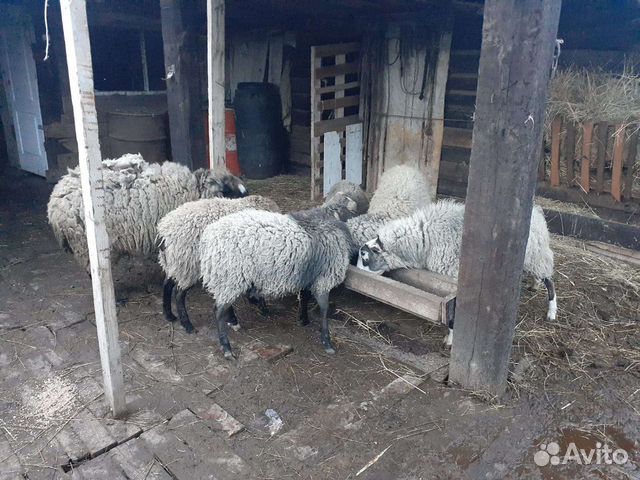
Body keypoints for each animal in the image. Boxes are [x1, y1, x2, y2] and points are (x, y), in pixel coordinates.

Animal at [157, 195, 281, 333]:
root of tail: (164, 233)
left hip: (174, 263)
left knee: (167, 284)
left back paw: (169, 315)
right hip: (187, 264)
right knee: (179, 294)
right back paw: (187, 325)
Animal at [199, 184, 366, 358]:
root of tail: (207, 238)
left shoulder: (307, 274)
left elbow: (305, 297)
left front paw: (303, 319)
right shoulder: (324, 278)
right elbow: (324, 309)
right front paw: (326, 341)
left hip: (226, 277)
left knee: (224, 304)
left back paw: (233, 321)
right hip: (230, 275)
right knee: (218, 311)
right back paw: (226, 347)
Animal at [357, 200, 556, 346]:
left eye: (365, 257)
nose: (355, 273)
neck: (423, 242)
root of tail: (537, 211)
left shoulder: (455, 278)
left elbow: (454, 314)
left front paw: (450, 340)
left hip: (537, 256)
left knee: (550, 281)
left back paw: (552, 312)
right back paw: (534, 284)